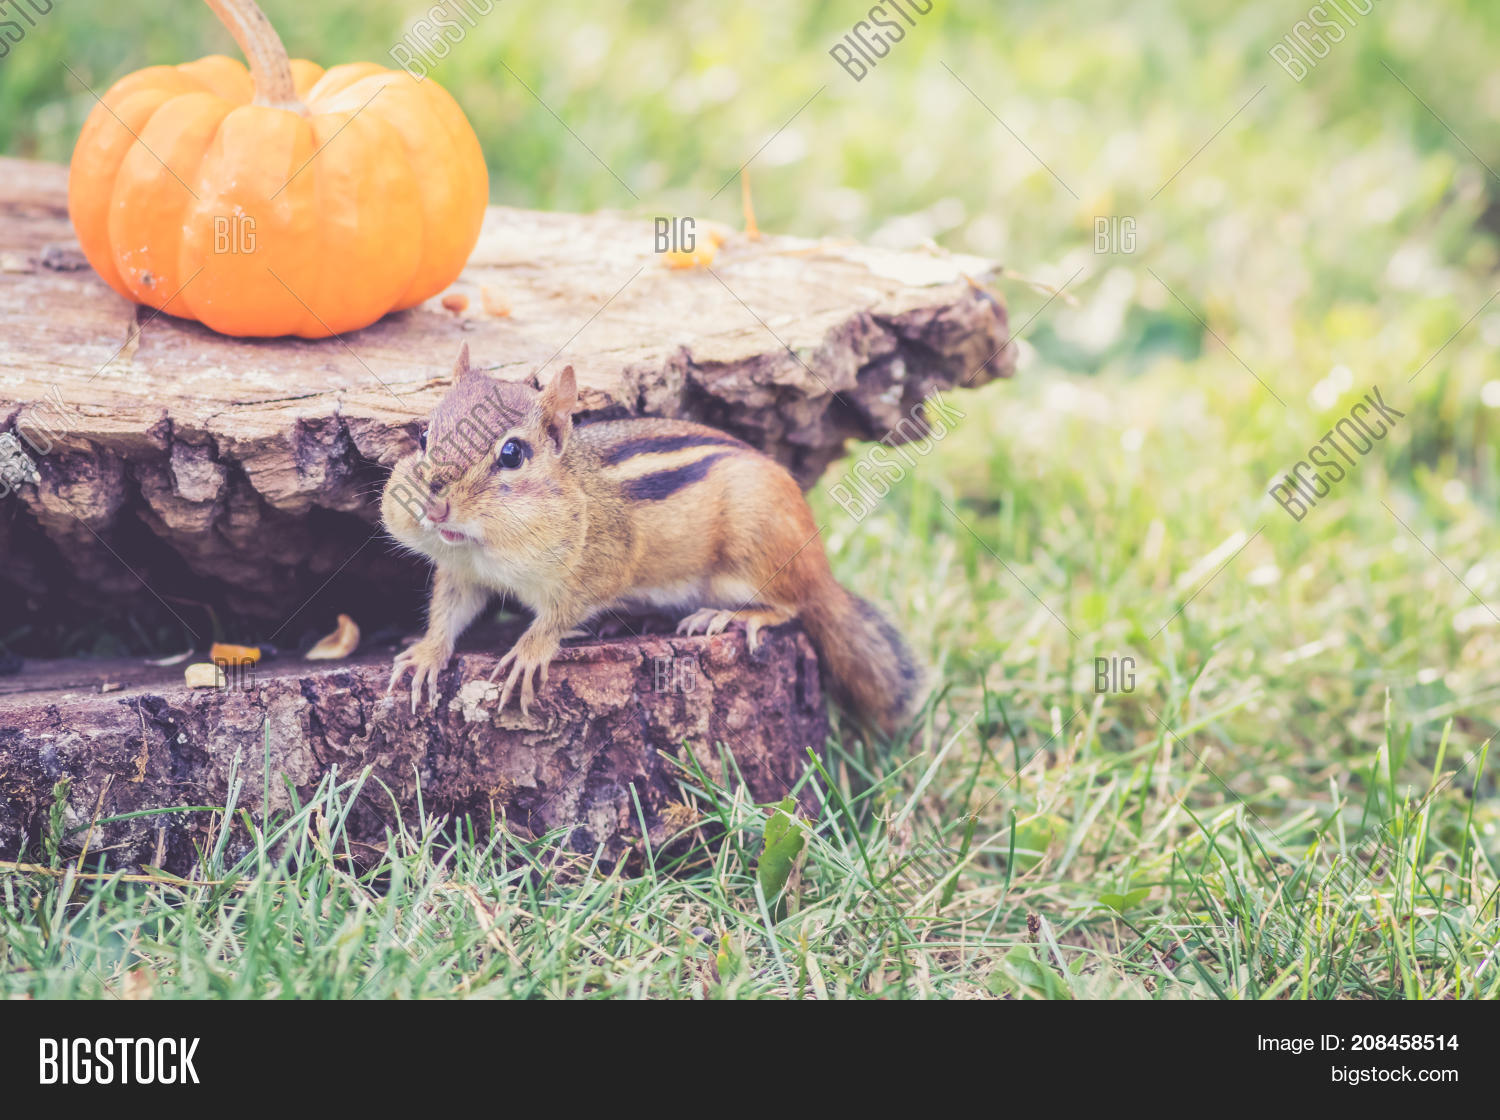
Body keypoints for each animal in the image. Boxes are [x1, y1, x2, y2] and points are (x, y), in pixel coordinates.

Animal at [382, 344, 922, 736]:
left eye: (512, 454)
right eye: (424, 437)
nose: (434, 507)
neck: (486, 547)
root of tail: (820, 567)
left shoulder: (601, 564)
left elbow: (560, 614)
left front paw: (530, 650)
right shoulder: (463, 572)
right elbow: (449, 611)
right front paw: (425, 655)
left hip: (756, 547)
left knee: (792, 604)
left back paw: (730, 615)